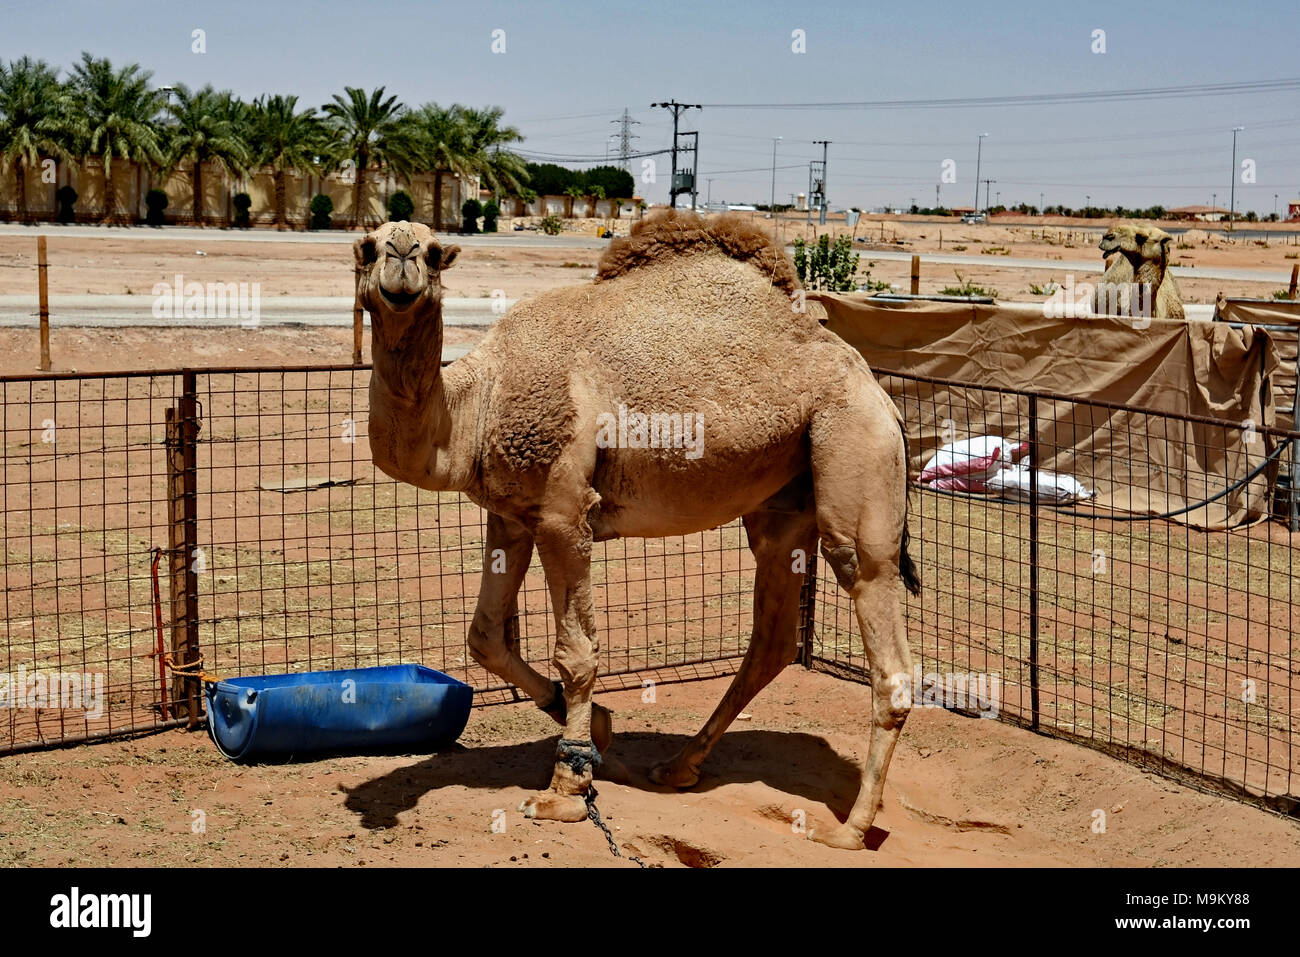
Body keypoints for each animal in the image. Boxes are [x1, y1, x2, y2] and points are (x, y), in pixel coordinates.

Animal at [357, 211, 920, 850]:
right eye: (367, 246)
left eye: (434, 253)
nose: (402, 253)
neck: (478, 405)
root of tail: (882, 394)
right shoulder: (510, 513)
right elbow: (484, 638)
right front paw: (597, 728)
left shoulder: (562, 511)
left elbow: (575, 652)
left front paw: (565, 791)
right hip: (783, 503)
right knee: (773, 638)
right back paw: (679, 767)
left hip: (852, 449)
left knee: (880, 628)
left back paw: (850, 829)